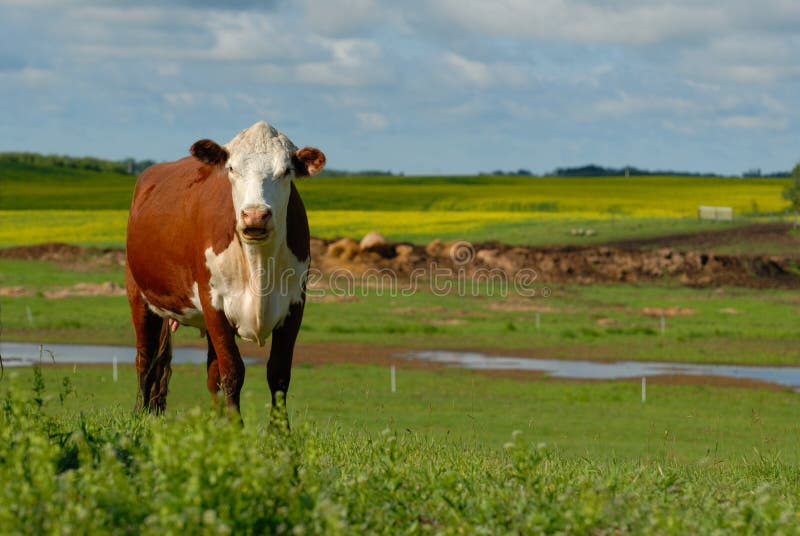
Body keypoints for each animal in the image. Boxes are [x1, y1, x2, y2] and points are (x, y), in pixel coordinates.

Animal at [125, 121, 325, 424]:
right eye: (232, 168)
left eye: (285, 171)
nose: (255, 215)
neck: (258, 264)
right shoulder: (214, 304)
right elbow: (233, 370)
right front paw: (235, 428)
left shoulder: (294, 304)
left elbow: (277, 373)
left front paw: (279, 431)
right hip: (139, 295)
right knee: (145, 359)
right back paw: (141, 414)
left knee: (210, 372)